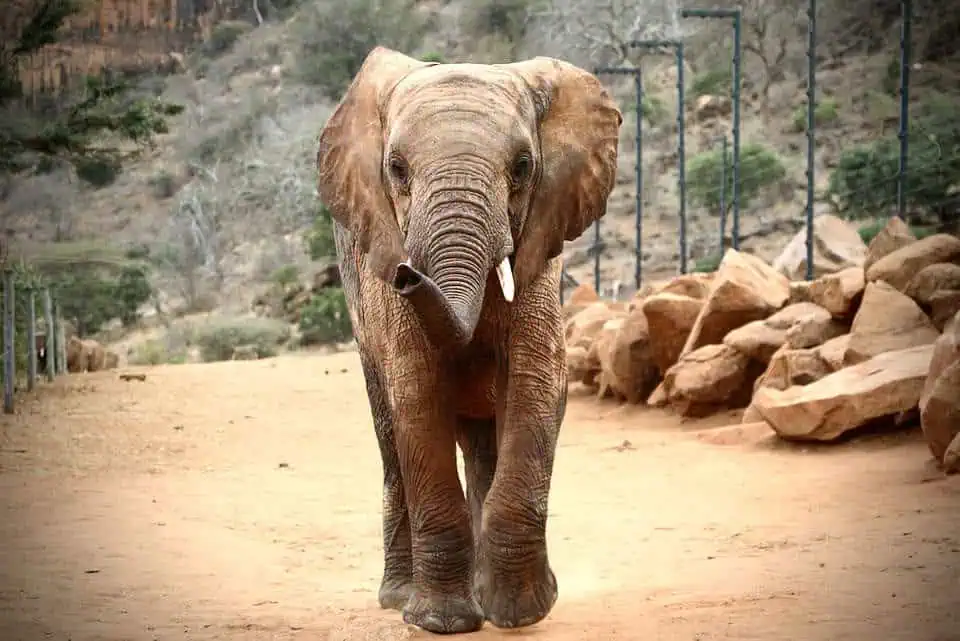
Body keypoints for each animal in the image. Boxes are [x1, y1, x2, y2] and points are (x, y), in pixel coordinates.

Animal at [316, 47, 621, 634]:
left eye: (523, 166)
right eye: (397, 169)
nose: (407, 276)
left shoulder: (542, 247)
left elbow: (536, 386)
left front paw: (520, 614)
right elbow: (416, 397)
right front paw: (442, 623)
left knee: (483, 447)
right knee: (390, 438)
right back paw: (399, 596)